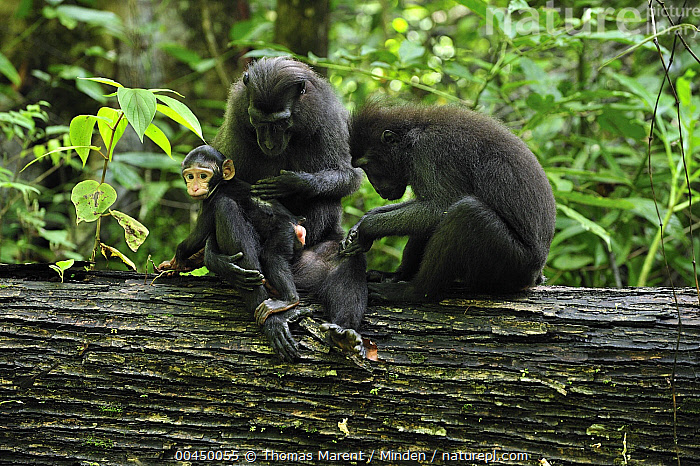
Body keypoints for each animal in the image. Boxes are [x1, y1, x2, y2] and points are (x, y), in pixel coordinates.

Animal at [158, 145, 308, 326]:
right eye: (190, 176)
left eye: (203, 176)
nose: (194, 187)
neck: (221, 183)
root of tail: (297, 225)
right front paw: (174, 266)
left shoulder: (211, 202)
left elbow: (199, 235)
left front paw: (178, 258)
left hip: (284, 231)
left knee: (272, 257)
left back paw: (289, 299)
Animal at [207, 57, 368, 361]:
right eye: (258, 121)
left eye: (282, 123)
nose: (269, 142)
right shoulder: (236, 119)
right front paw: (215, 261)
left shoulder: (328, 117)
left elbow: (349, 175)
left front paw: (293, 183)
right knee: (226, 211)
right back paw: (273, 316)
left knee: (343, 252)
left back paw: (344, 333)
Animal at [339, 101, 556, 301]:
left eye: (367, 165)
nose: (376, 187)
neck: (414, 132)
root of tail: (535, 276)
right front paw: (364, 222)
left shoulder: (429, 151)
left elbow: (441, 205)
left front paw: (367, 228)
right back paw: (396, 276)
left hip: (513, 266)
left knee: (466, 213)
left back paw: (412, 292)